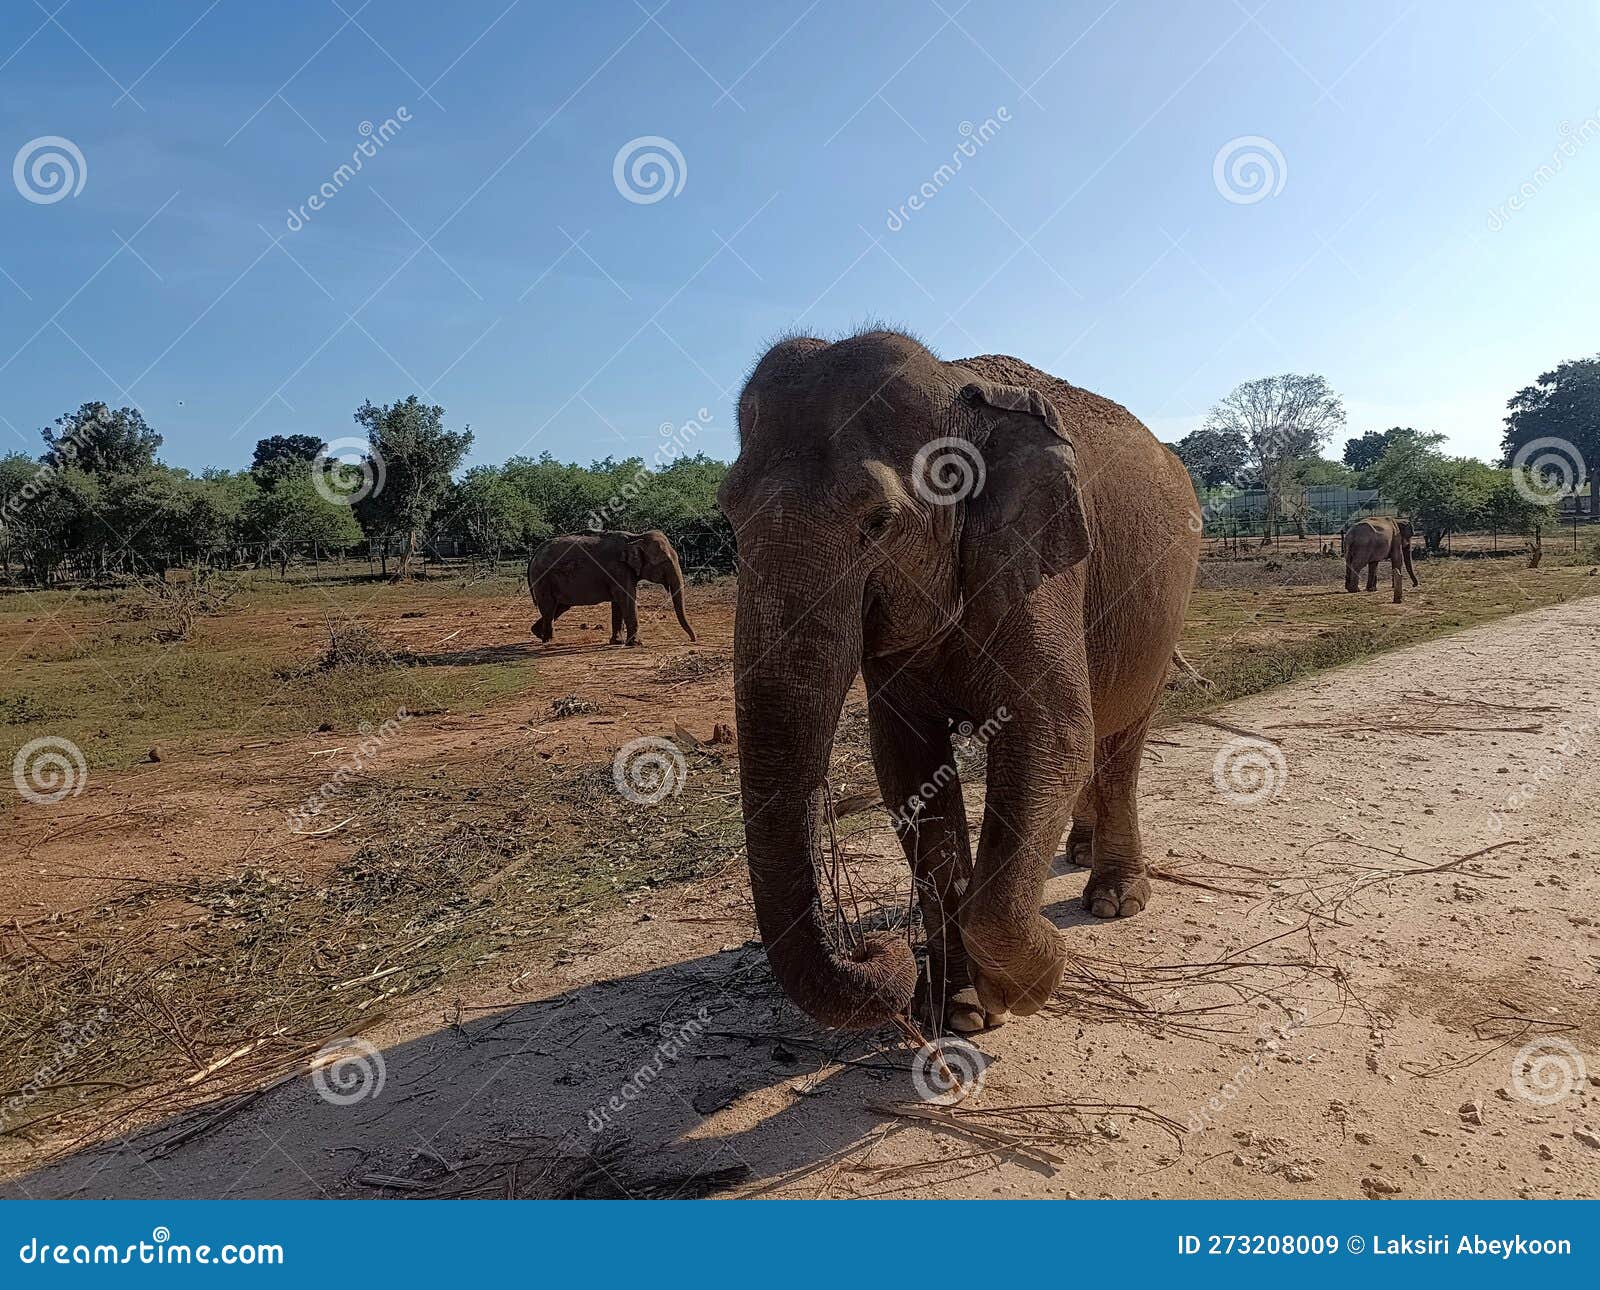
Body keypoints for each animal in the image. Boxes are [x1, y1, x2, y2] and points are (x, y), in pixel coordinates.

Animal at [527, 529, 696, 646]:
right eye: (664, 562)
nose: (693, 640)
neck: (635, 538)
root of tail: (534, 554)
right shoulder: (618, 569)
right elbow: (626, 598)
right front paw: (636, 644)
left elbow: (618, 602)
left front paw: (617, 642)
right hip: (542, 578)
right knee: (549, 605)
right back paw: (549, 640)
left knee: (560, 606)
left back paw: (538, 633)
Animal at [717, 330, 1200, 1035]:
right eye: (727, 517)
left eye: (878, 522)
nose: (877, 948)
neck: (957, 391)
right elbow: (908, 766)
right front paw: (957, 1010)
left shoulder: (1041, 565)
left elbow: (1050, 735)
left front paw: (1027, 981)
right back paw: (1079, 854)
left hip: (1164, 613)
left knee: (1118, 738)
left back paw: (1113, 900)